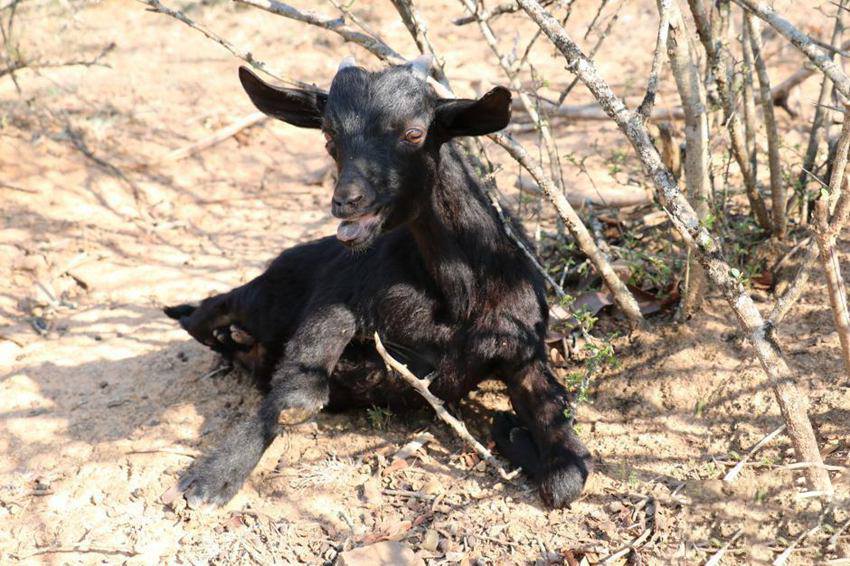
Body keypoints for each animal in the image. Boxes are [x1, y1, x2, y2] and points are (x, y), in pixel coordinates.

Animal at [164, 56, 591, 509]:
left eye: (415, 133)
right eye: (329, 136)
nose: (347, 200)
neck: (458, 296)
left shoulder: (523, 348)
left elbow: (567, 472)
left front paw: (509, 429)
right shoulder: (343, 292)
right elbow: (297, 395)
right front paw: (213, 479)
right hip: (269, 295)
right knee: (213, 308)